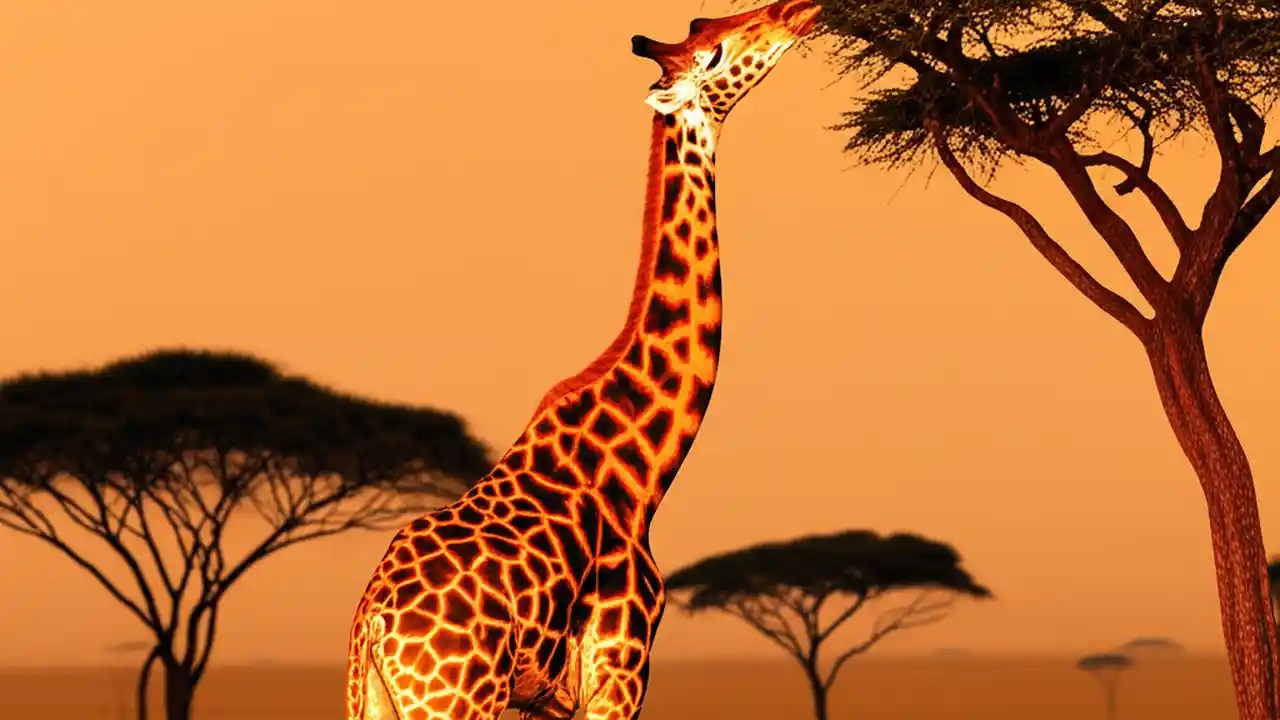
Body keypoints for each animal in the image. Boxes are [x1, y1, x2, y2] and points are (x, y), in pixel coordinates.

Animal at [346, 2, 821, 718]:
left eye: (706, 22)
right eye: (716, 48)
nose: (799, 11)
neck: (643, 475)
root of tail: (374, 625)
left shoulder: (546, 697)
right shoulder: (619, 667)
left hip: (370, 698)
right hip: (456, 700)